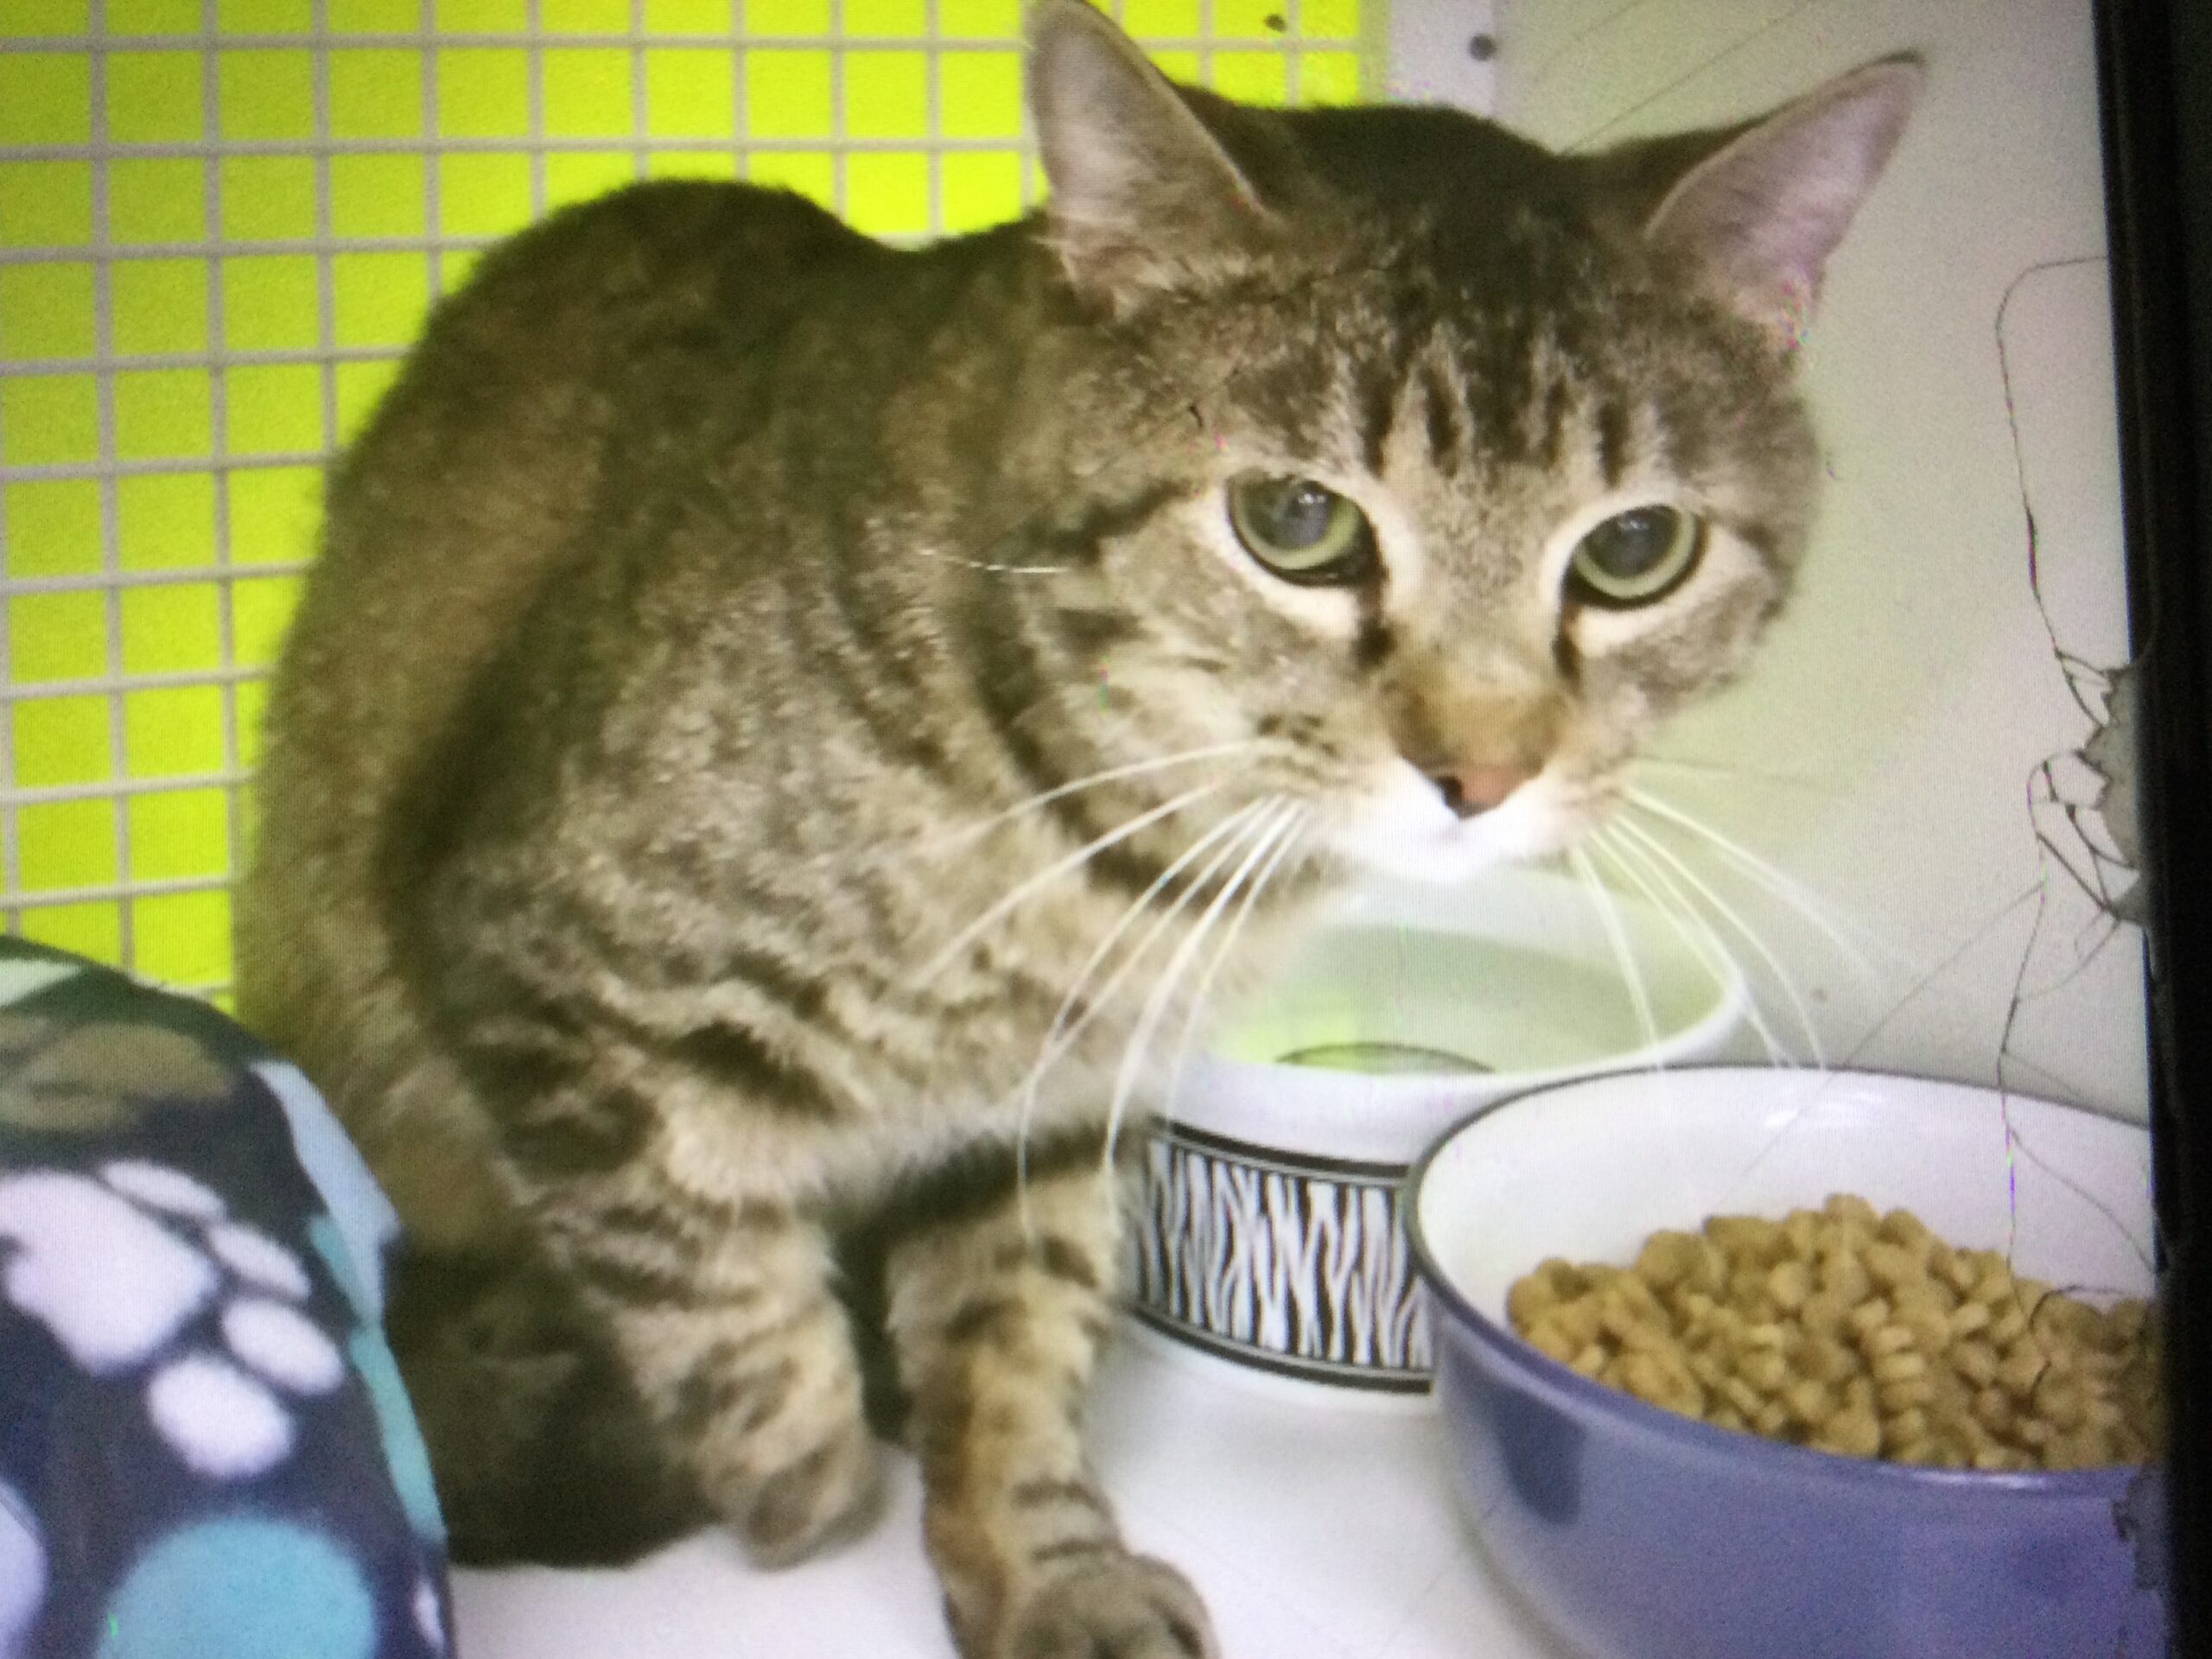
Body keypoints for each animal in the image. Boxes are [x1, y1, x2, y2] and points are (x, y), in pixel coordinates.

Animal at [233, 5, 1918, 1655]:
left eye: (1636, 549)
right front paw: (806, 1479)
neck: (1105, 860)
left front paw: (1041, 1568)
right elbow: (714, 1279)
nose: (1485, 768)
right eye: (1295, 523)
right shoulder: (537, 958)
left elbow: (1014, 1349)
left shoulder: (1045, 1115)